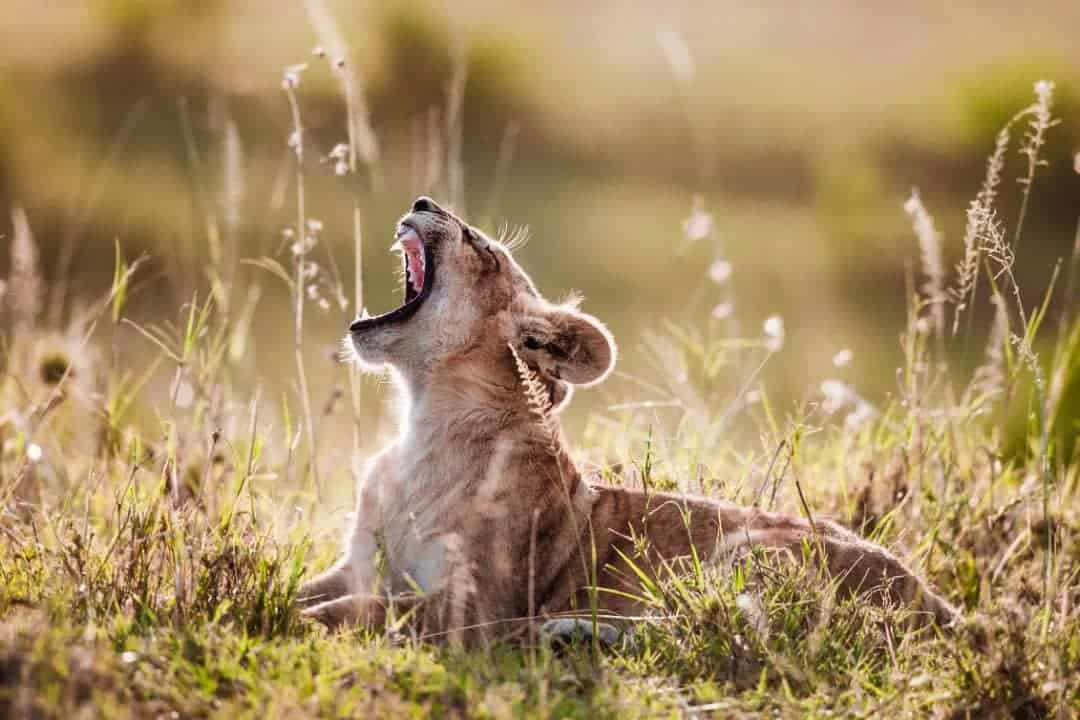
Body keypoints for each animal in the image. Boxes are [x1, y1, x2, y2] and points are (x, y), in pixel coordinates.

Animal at [298, 196, 960, 644]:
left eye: (481, 249)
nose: (422, 202)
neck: (423, 424)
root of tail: (935, 598)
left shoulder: (475, 607)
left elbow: (363, 612)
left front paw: (286, 623)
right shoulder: (357, 568)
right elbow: (305, 584)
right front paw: (275, 597)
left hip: (743, 553)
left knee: (706, 625)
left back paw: (562, 631)